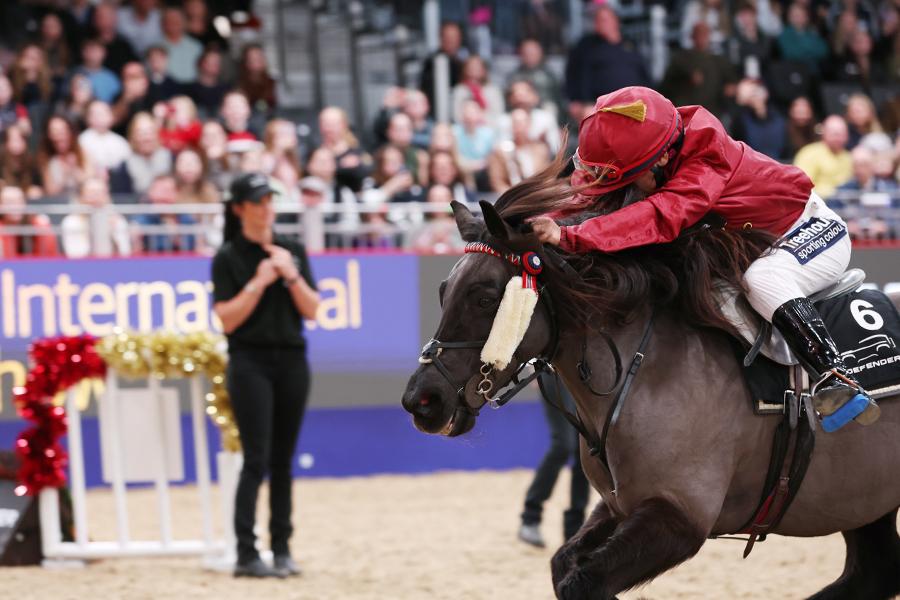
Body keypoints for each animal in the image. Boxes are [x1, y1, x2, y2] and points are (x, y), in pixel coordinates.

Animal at [401, 188, 900, 599]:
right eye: (443, 290)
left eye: (485, 297)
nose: (422, 400)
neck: (648, 367)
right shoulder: (621, 506)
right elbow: (564, 565)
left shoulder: (679, 517)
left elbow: (583, 580)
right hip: (865, 503)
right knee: (873, 574)